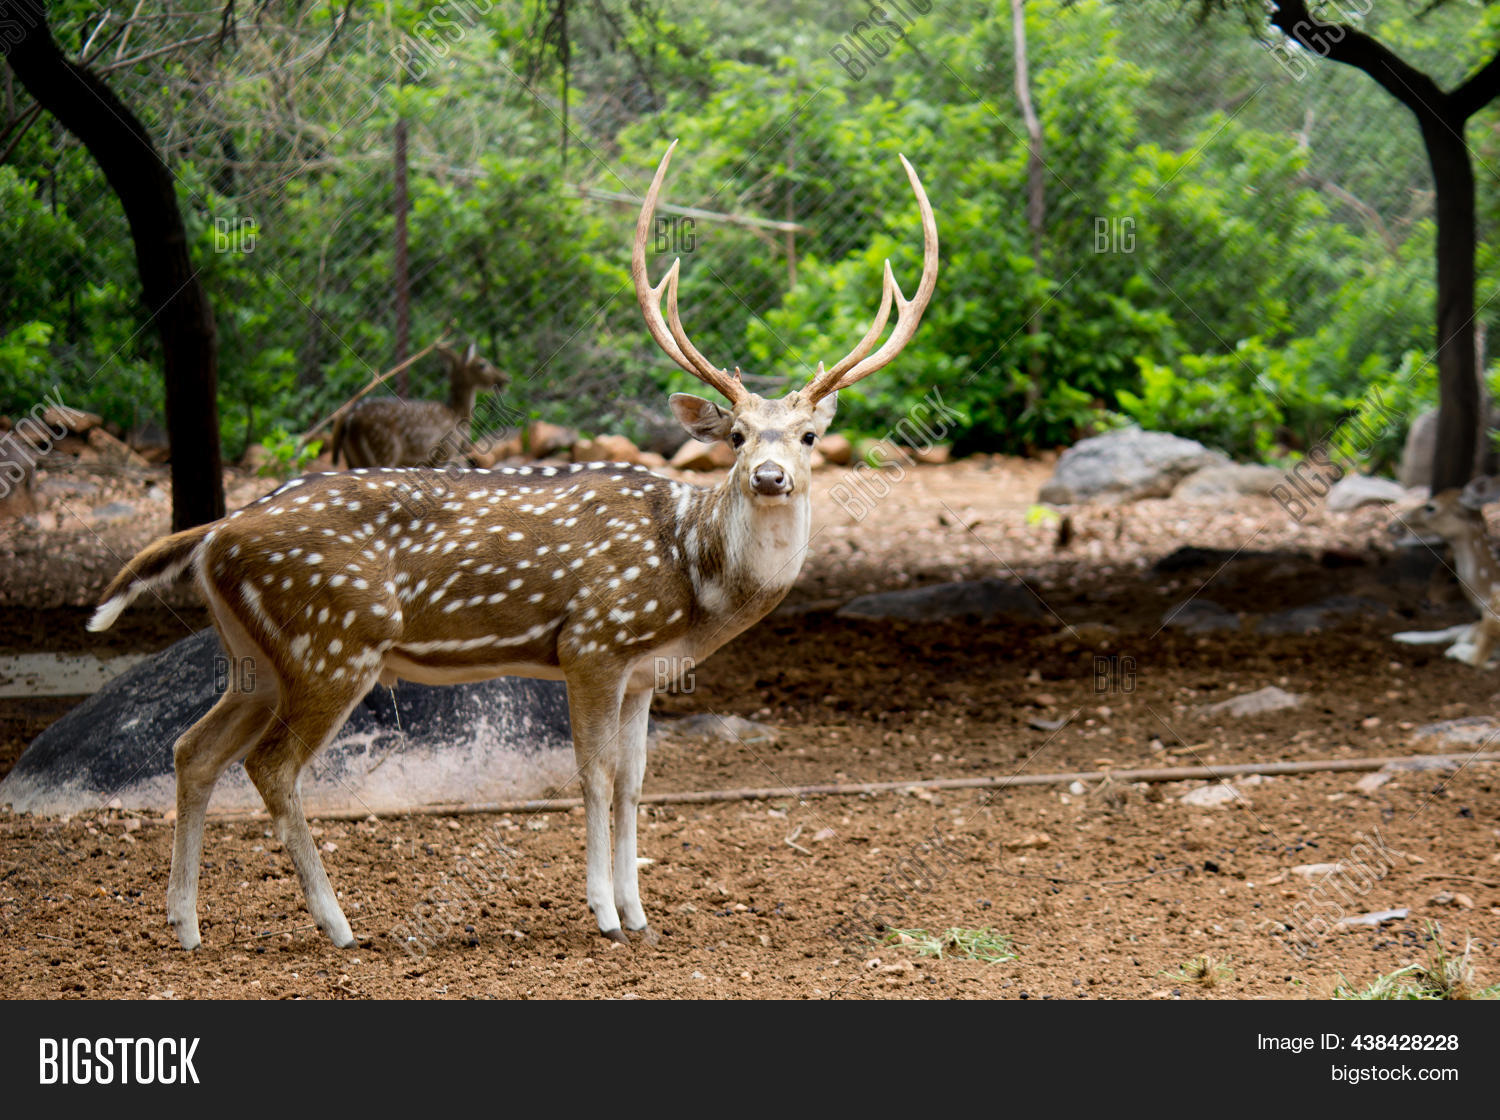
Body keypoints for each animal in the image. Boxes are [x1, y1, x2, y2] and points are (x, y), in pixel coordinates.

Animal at [329, 342, 508, 469]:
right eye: (482, 364)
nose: (505, 379)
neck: (456, 415)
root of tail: (349, 417)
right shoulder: (443, 453)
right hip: (384, 449)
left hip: (353, 458)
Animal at [1391, 487, 1500, 666]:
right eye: (1434, 574)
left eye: (1431, 507)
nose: (1393, 527)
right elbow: (1461, 630)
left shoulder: (1492, 618)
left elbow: (1476, 655)